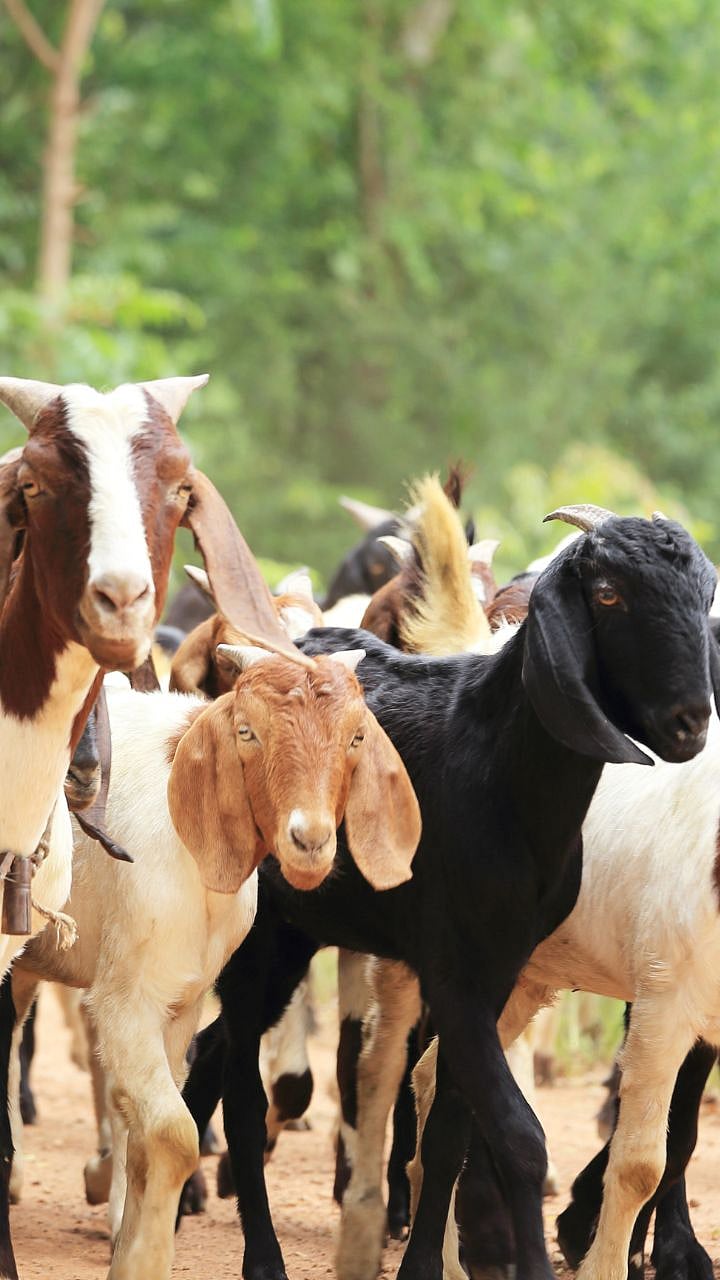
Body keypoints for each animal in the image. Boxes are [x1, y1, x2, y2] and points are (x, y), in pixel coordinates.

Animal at [5, 642, 420, 1280]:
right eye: (247, 730)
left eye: (354, 736)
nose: (310, 840)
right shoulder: (126, 1001)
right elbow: (174, 1133)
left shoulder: (183, 999)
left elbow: (147, 1132)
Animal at [179, 505, 719, 1280]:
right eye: (609, 593)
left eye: (706, 594)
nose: (691, 723)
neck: (495, 762)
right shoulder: (460, 970)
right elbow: (530, 1137)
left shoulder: (502, 972)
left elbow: (453, 1129)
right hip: (263, 938)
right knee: (253, 1097)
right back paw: (268, 1250)